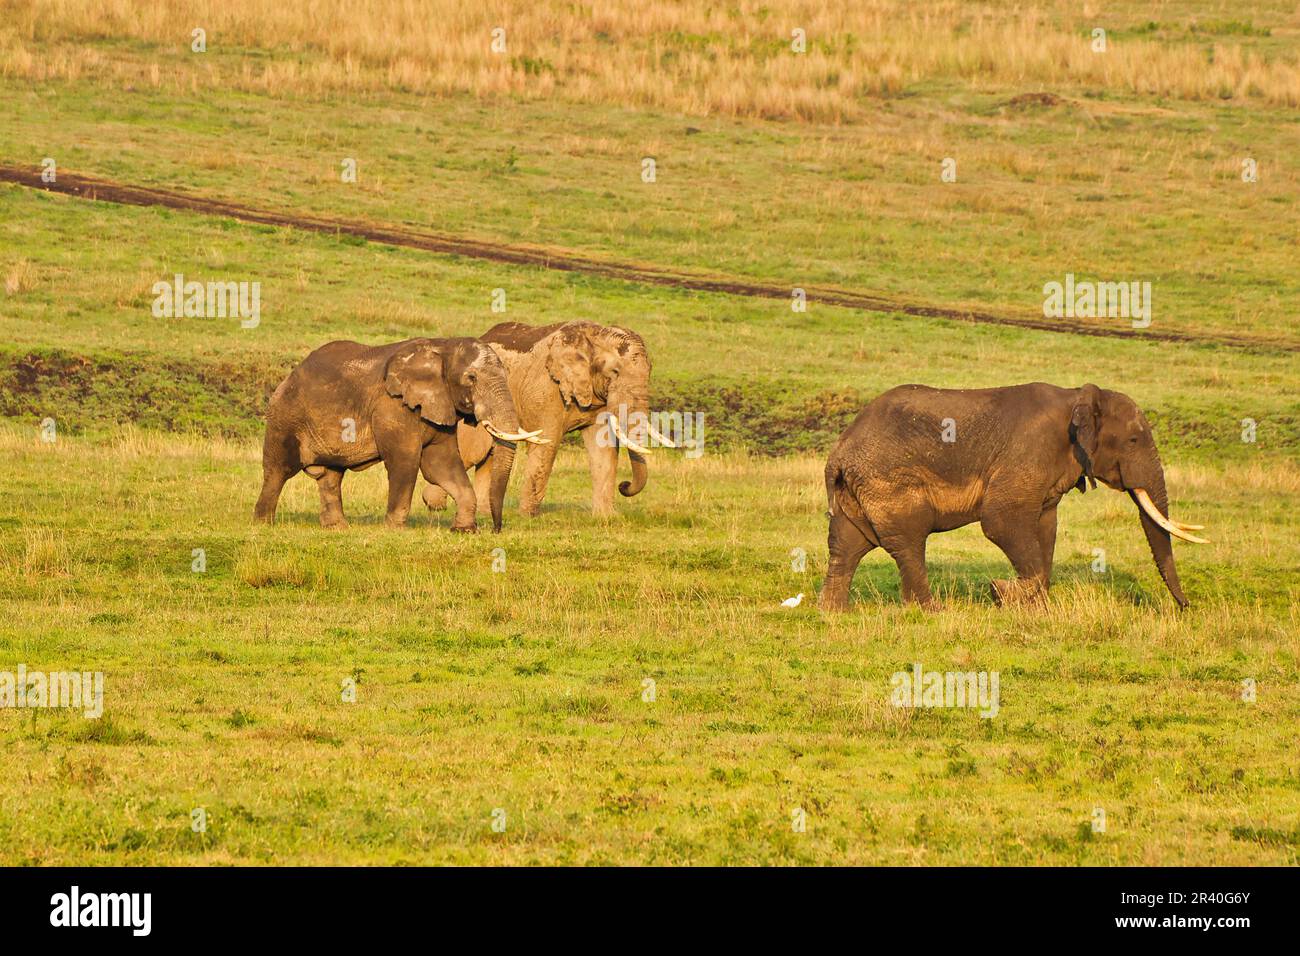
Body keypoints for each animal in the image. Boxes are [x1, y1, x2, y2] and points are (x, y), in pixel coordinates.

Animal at [253, 338, 546, 532]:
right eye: (471, 378)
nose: (496, 529)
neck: (443, 346)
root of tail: (286, 379)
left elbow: (440, 464)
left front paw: (463, 530)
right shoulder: (392, 406)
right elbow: (405, 461)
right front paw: (395, 529)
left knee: (331, 476)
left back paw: (338, 528)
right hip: (285, 417)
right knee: (278, 470)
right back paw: (263, 524)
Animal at [421, 321, 670, 518]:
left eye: (650, 371)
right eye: (615, 372)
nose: (624, 485)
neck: (595, 335)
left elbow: (604, 448)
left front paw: (606, 518)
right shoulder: (546, 390)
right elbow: (547, 444)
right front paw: (528, 517)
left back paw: (480, 512)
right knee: (474, 450)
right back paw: (434, 505)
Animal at [818, 382, 1209, 610]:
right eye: (1133, 440)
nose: (1186, 607)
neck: (1076, 396)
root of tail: (839, 451)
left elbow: (1046, 527)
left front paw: (1038, 610)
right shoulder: (1029, 450)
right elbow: (1001, 521)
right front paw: (999, 592)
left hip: (856, 490)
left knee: (847, 546)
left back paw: (834, 612)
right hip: (888, 483)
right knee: (909, 542)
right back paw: (931, 611)